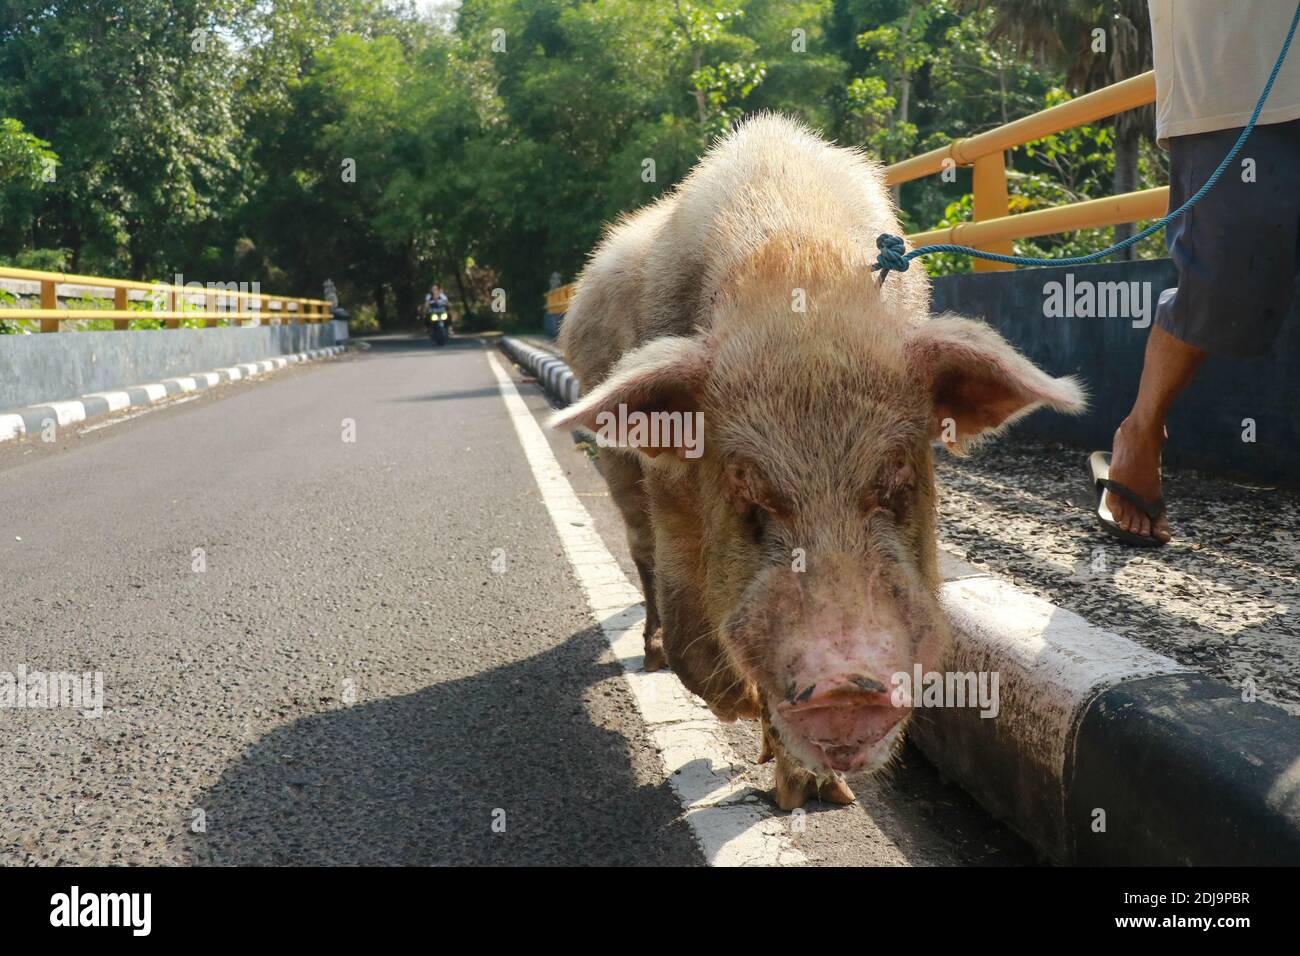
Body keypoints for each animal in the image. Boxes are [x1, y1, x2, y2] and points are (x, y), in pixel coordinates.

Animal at [552, 114, 1084, 810]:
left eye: (899, 477)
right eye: (747, 488)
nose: (846, 684)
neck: (795, 274)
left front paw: (824, 795)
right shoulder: (672, 489)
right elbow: (694, 628)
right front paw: (743, 722)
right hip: (619, 465)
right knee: (641, 559)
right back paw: (652, 658)